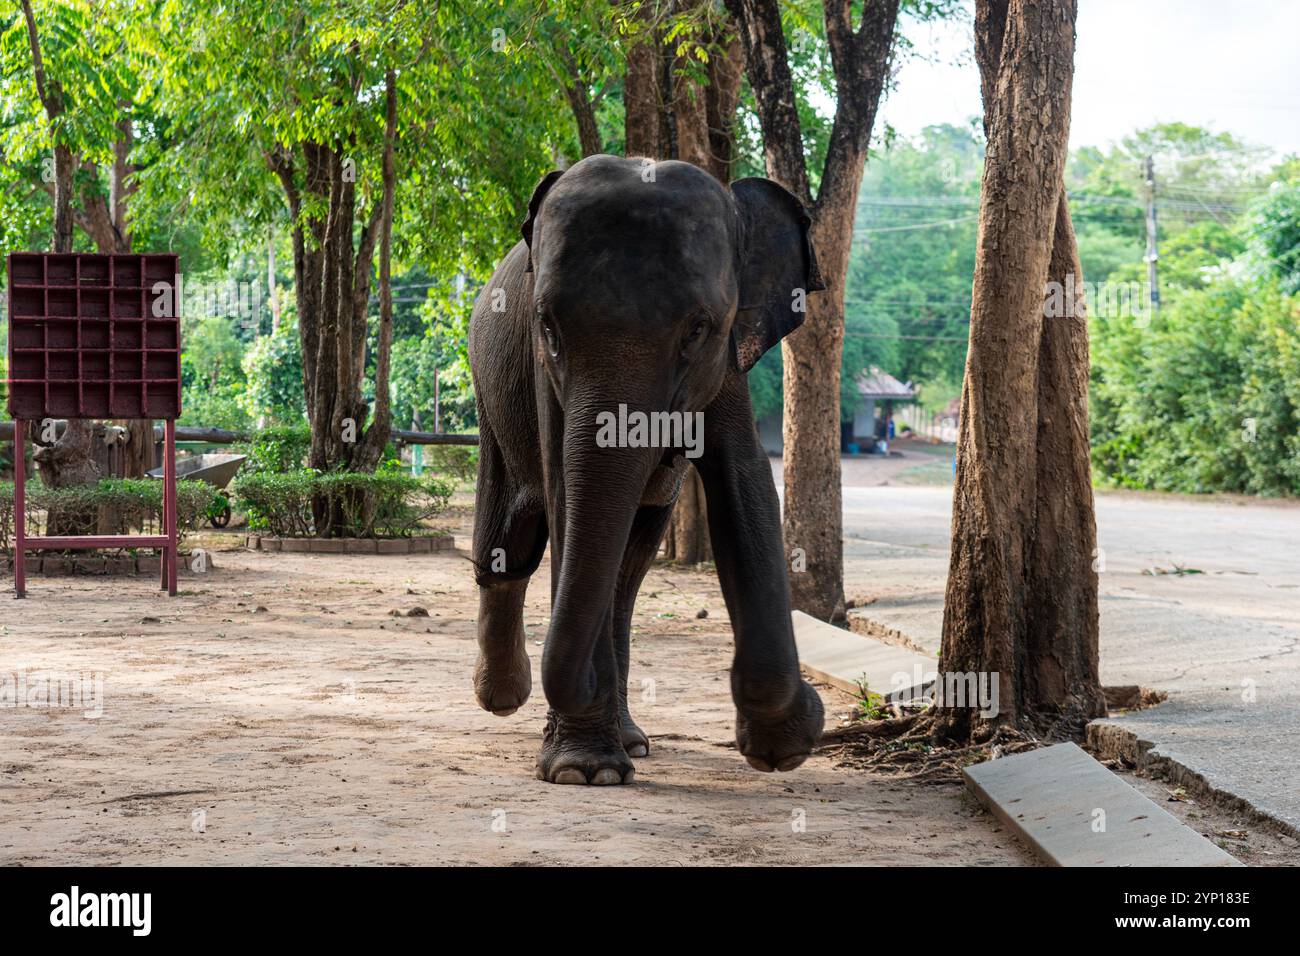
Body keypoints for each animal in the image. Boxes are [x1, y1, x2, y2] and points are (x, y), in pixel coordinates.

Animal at [468, 154, 826, 785]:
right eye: (548, 326)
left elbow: (745, 487)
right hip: (490, 401)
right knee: (508, 540)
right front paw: (583, 772)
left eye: (698, 329)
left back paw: (630, 739)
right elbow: (567, 499)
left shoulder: (729, 358)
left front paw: (787, 745)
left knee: (626, 572)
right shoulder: (543, 374)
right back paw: (505, 695)